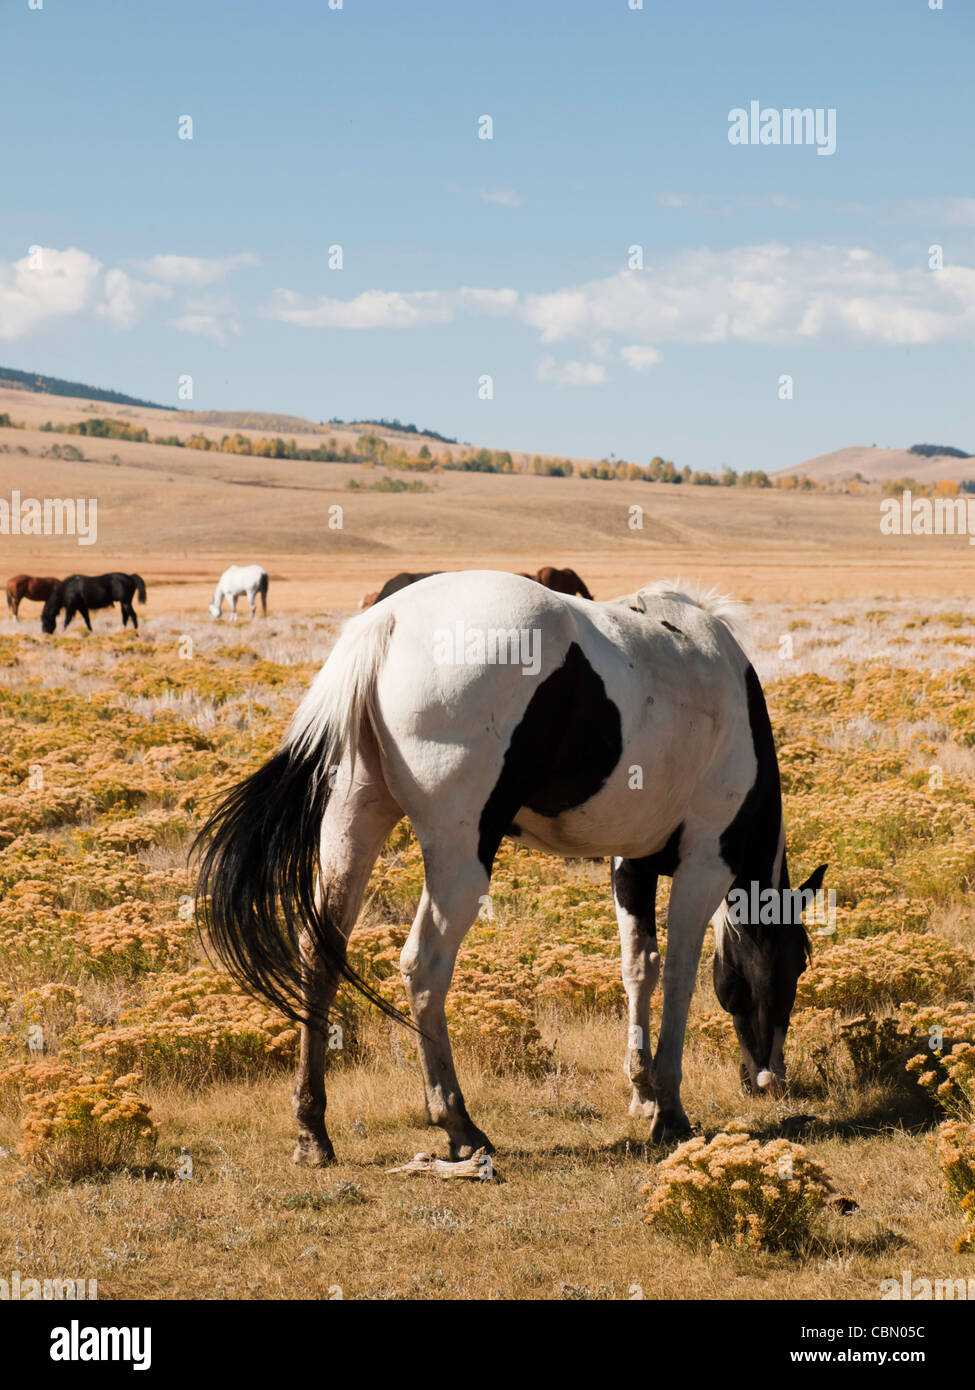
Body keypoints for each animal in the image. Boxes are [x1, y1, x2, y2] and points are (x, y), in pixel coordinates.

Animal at [195, 571, 826, 1166]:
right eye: (795, 964)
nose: (770, 1078)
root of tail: (387, 622)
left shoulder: (631, 865)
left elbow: (638, 967)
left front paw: (642, 1091)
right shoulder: (702, 866)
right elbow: (677, 976)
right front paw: (668, 1109)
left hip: (353, 821)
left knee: (320, 951)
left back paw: (312, 1129)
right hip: (461, 856)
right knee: (424, 967)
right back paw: (458, 1124)